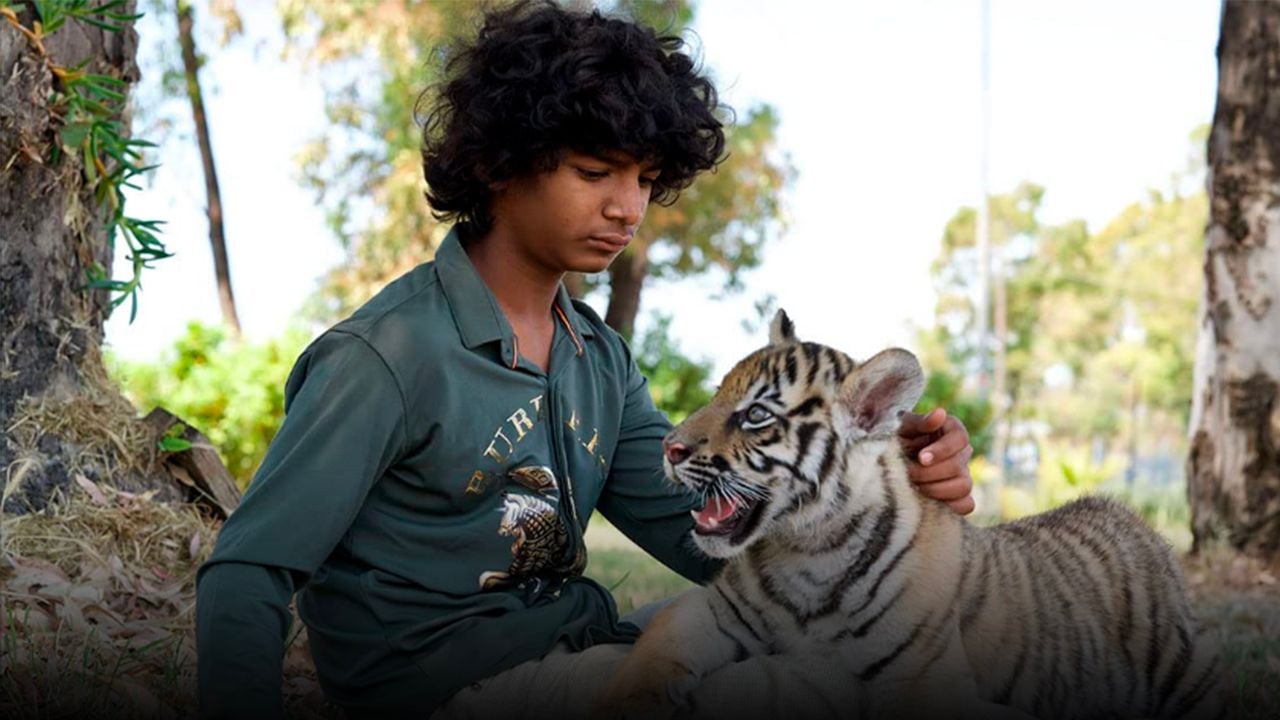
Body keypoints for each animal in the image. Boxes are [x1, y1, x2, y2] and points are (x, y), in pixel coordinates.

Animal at [593, 310, 1224, 720]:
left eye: (755, 416)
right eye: (717, 392)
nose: (668, 448)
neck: (807, 550)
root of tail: (1125, 513)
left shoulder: (918, 680)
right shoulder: (714, 611)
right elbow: (653, 651)